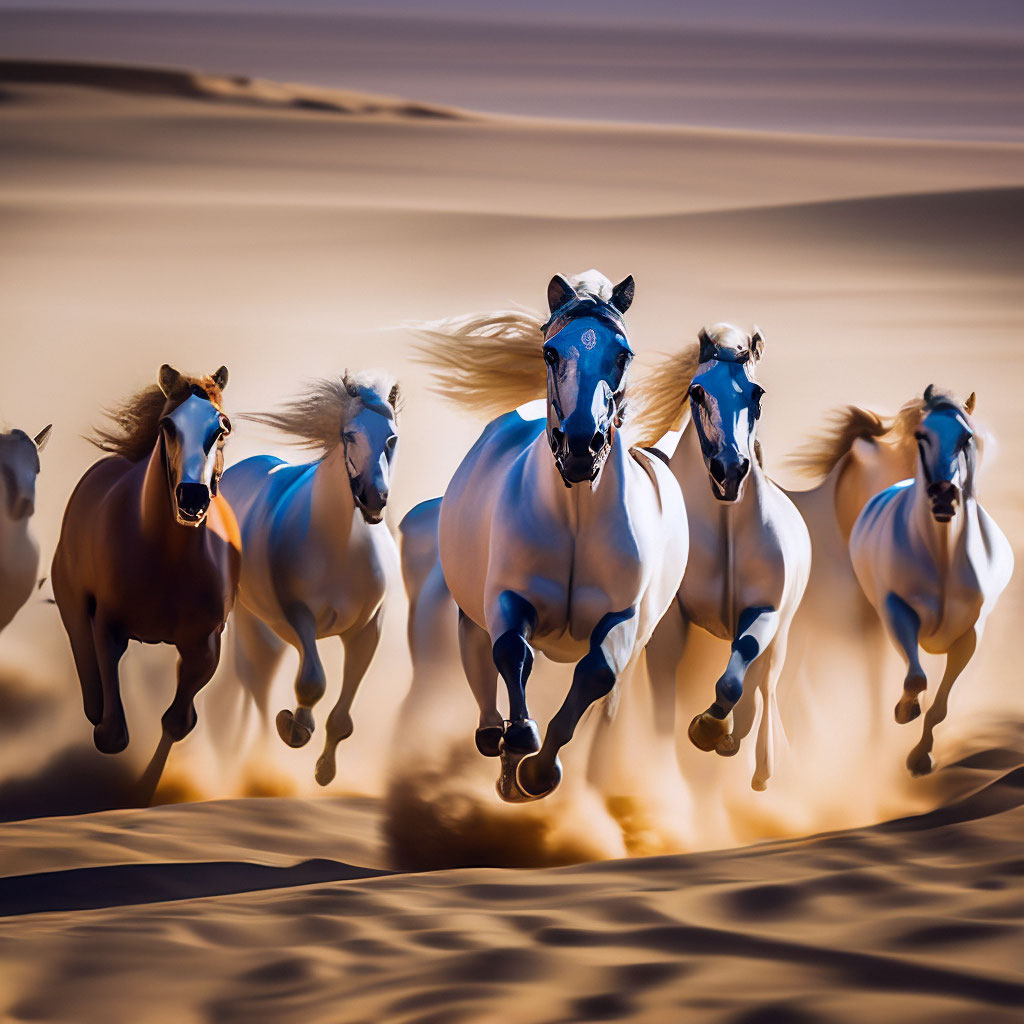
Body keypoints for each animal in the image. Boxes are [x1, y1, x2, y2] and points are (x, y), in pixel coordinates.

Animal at [51, 365, 239, 754]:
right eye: (167, 425)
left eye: (223, 427)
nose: (192, 498)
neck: (166, 562)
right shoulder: (107, 627)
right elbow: (112, 733)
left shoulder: (206, 644)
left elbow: (178, 721)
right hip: (71, 604)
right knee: (87, 674)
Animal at [220, 372, 400, 786]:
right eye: (349, 434)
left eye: (392, 437)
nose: (375, 498)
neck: (340, 547)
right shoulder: (298, 615)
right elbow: (312, 681)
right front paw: (295, 728)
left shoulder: (367, 630)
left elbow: (342, 714)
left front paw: (325, 770)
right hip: (254, 623)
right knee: (253, 685)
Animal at [420, 269, 689, 802]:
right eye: (550, 353)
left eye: (623, 354)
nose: (581, 446)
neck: (576, 519)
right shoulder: (509, 597)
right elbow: (511, 653)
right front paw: (519, 741)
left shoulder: (620, 617)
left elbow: (595, 677)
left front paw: (539, 773)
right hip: (472, 609)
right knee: (478, 656)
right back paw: (493, 735)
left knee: (607, 702)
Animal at [634, 325, 811, 791]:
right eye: (697, 392)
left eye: (757, 393)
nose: (729, 472)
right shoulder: (670, 621)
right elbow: (663, 700)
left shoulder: (764, 611)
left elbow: (738, 672)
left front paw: (710, 728)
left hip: (782, 634)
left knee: (763, 685)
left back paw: (760, 767)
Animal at [849, 385, 1013, 776]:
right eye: (921, 436)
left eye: (966, 437)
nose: (943, 496)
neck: (942, 560)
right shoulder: (896, 611)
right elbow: (916, 679)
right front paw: (905, 710)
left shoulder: (969, 635)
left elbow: (940, 706)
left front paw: (920, 758)